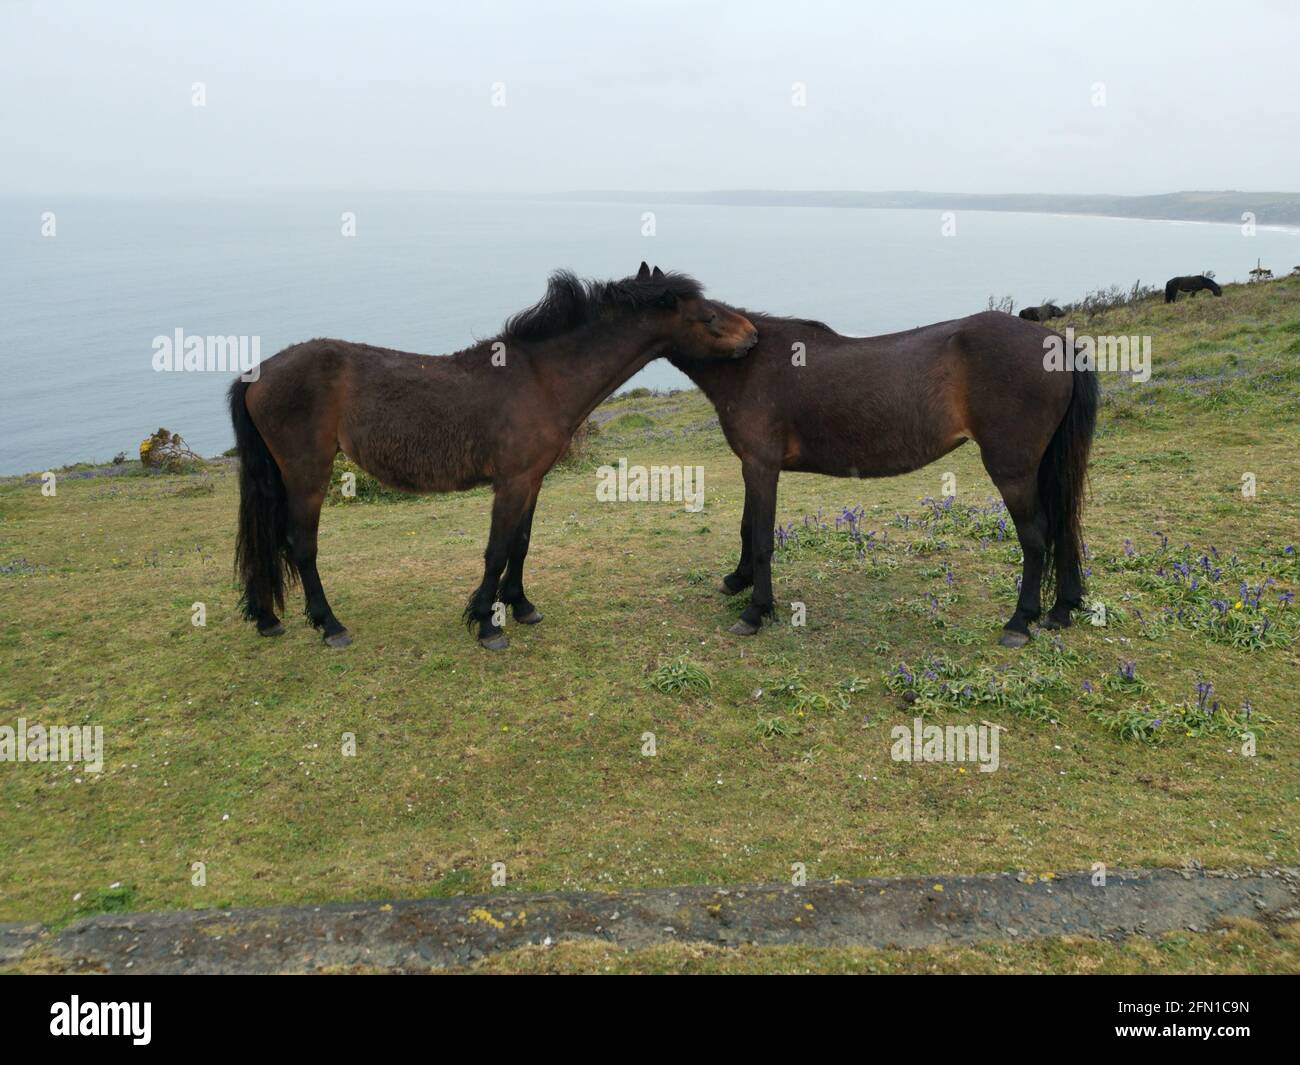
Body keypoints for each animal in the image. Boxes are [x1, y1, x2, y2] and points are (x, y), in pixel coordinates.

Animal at [229, 263, 757, 650]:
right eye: (707, 316)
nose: (752, 334)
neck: (541, 377)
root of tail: (257, 373)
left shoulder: (533, 480)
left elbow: (520, 543)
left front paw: (521, 606)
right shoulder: (512, 481)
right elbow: (496, 549)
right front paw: (486, 623)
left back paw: (268, 617)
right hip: (308, 474)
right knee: (301, 545)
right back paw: (330, 625)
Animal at [668, 303, 1098, 647]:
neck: (748, 365)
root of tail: (1057, 343)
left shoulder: (760, 465)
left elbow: (759, 535)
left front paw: (755, 609)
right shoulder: (753, 465)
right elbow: (747, 526)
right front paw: (736, 580)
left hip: (1013, 471)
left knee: (1036, 536)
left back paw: (1020, 621)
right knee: (1062, 526)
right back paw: (1062, 609)